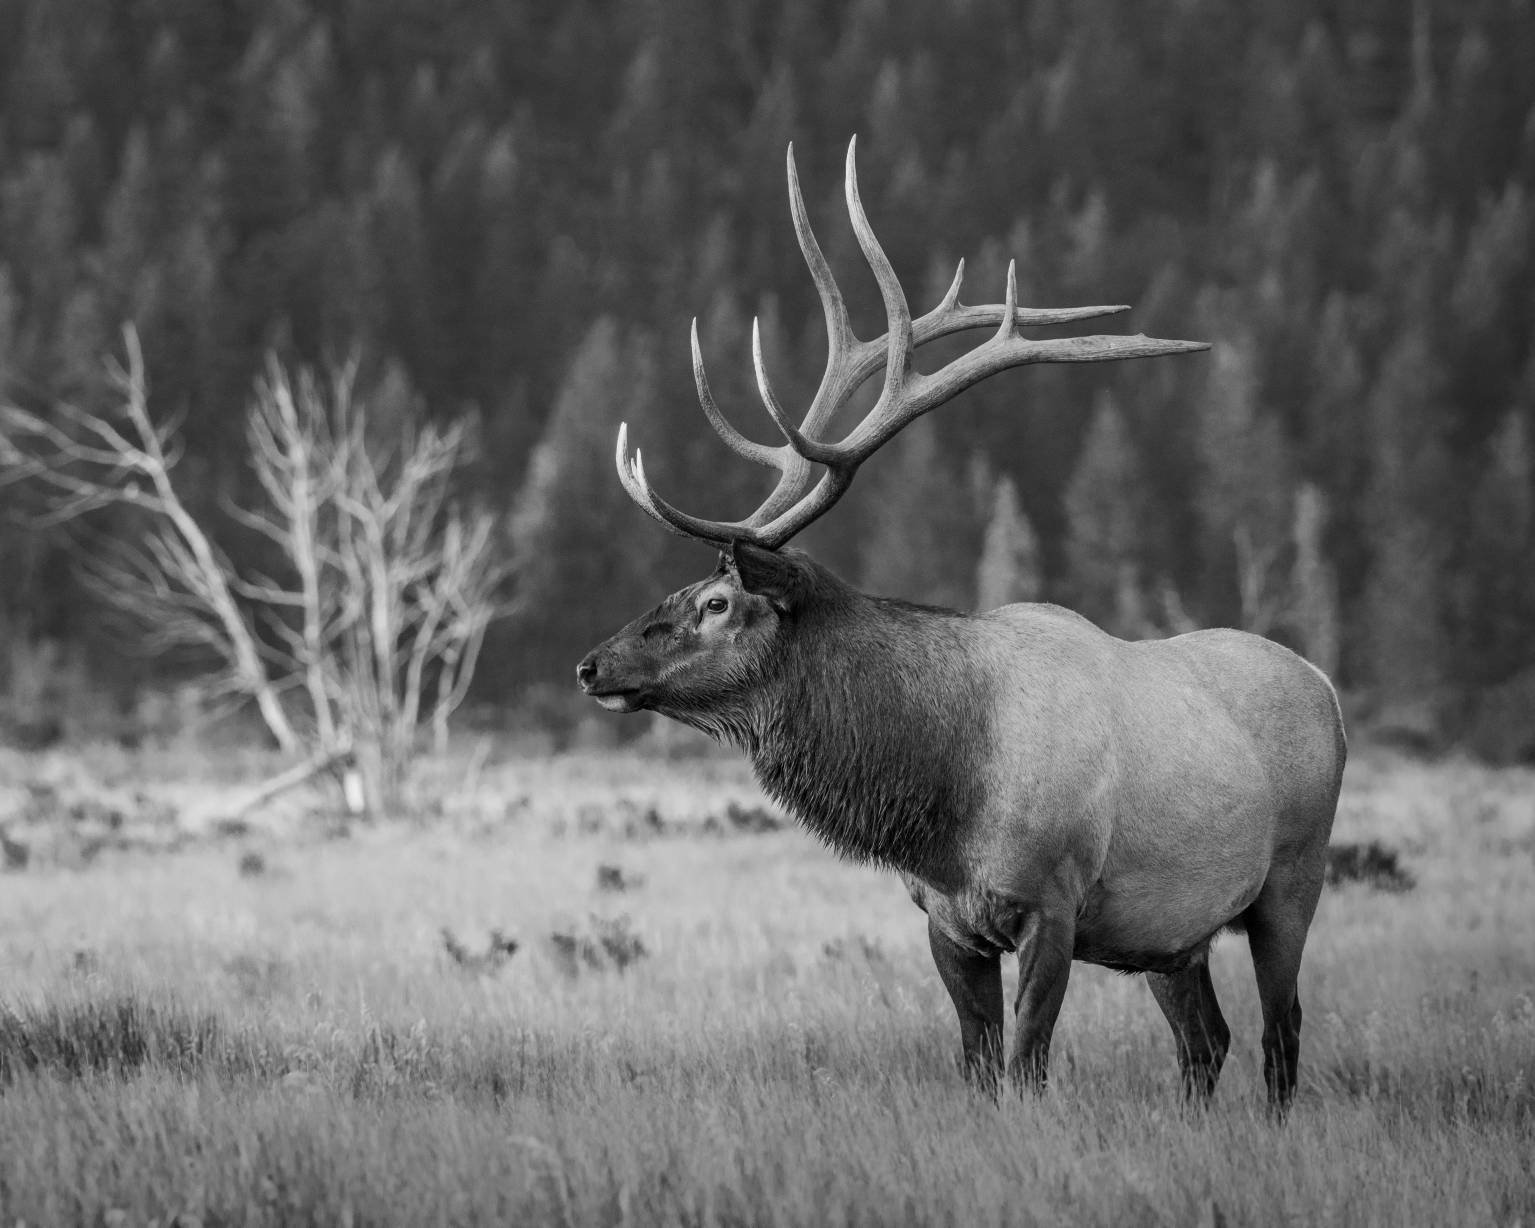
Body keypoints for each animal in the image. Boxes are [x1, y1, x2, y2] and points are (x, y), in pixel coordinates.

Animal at [576, 138, 1347, 1111]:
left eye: (717, 603)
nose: (591, 665)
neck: (941, 796)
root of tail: (1325, 686)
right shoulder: (944, 920)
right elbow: (979, 1068)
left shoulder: (1055, 903)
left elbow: (1027, 1065)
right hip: (1174, 930)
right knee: (1206, 1041)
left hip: (1291, 877)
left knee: (1281, 1034)